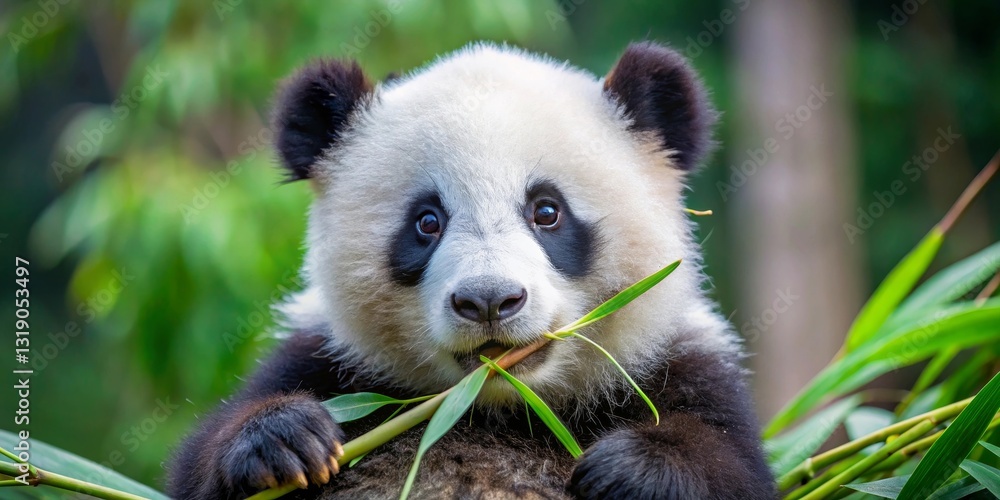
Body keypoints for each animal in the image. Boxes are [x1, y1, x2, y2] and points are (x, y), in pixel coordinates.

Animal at [166, 42, 775, 499]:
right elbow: (200, 464)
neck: (498, 407)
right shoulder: (328, 360)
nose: (489, 301)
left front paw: (630, 470)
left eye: (547, 211)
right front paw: (285, 439)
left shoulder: (679, 366)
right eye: (427, 222)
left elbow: (729, 463)